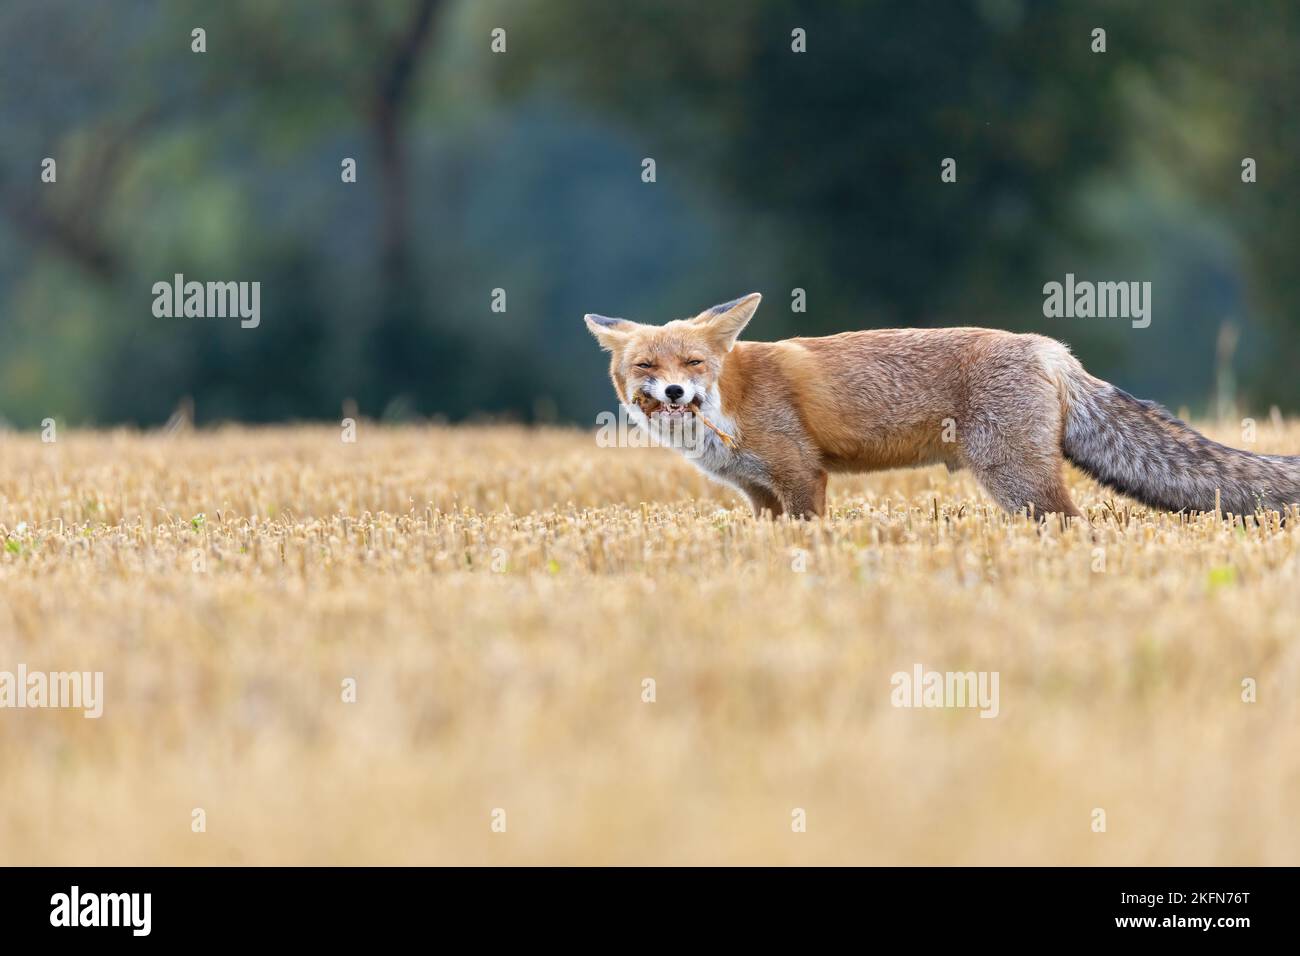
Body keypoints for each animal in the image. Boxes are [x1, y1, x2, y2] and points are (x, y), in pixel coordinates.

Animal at [584, 292, 1300, 519]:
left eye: (693, 364)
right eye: (646, 367)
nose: (676, 394)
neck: (728, 402)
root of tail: (1049, 346)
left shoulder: (801, 476)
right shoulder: (761, 494)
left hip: (1016, 479)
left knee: (1076, 526)